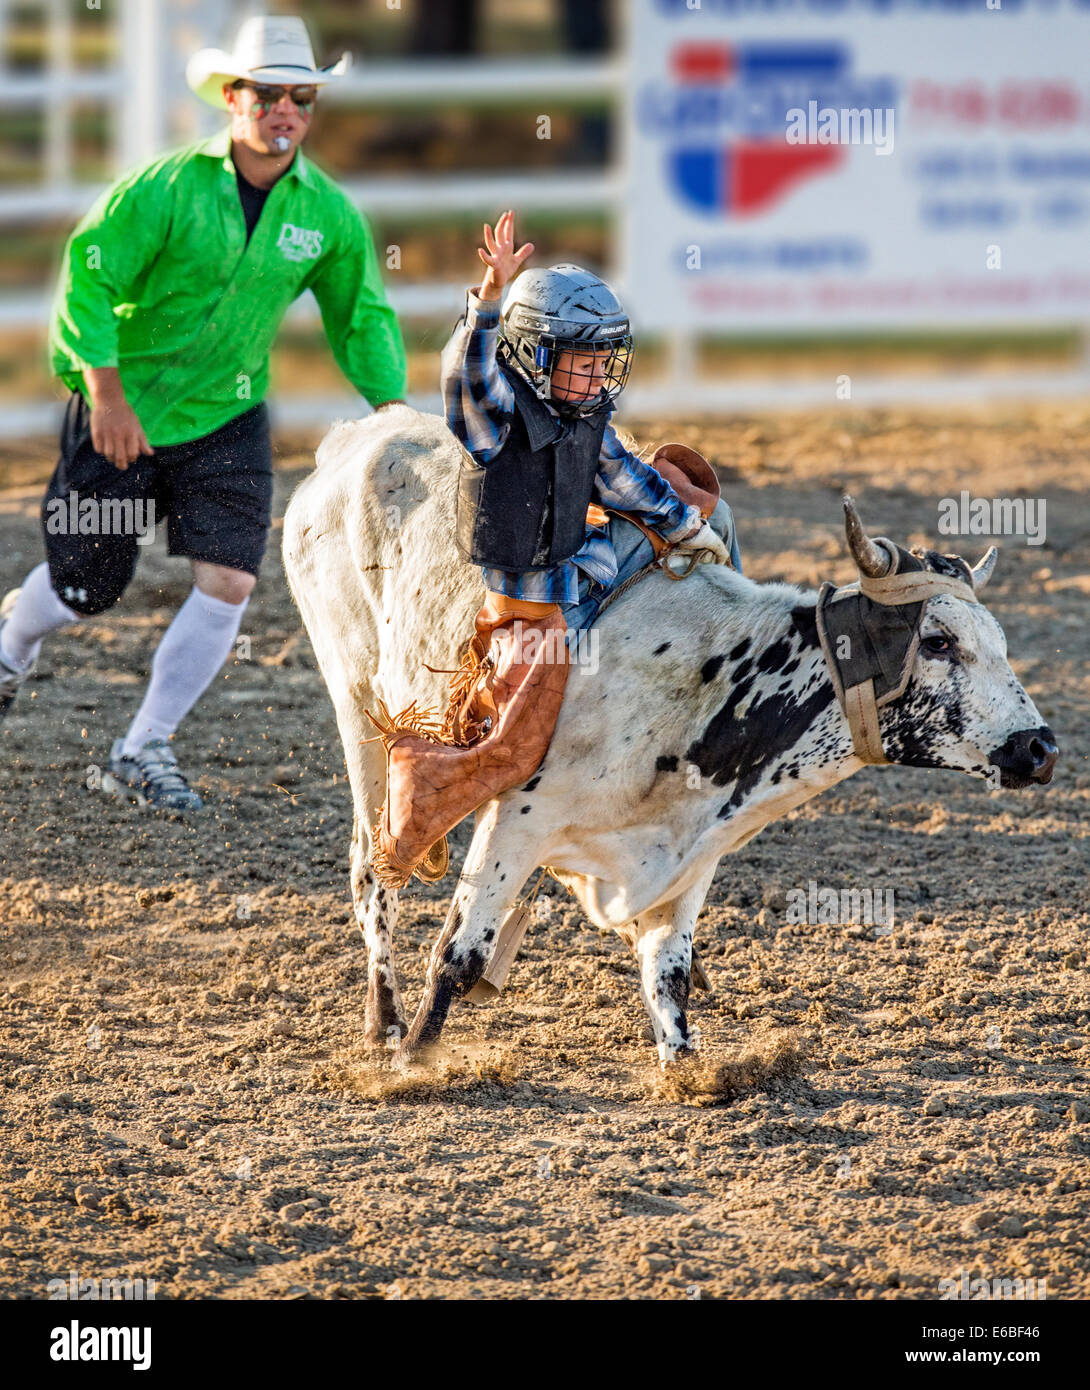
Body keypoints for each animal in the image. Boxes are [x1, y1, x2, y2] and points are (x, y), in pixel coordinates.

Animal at [283, 405, 1058, 1070]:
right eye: (938, 640)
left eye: (1000, 641)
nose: (1040, 747)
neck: (706, 677)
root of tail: (357, 435)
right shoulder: (518, 818)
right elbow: (459, 952)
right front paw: (415, 1061)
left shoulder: (695, 838)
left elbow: (668, 964)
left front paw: (685, 1064)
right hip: (359, 704)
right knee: (372, 868)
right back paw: (385, 1022)